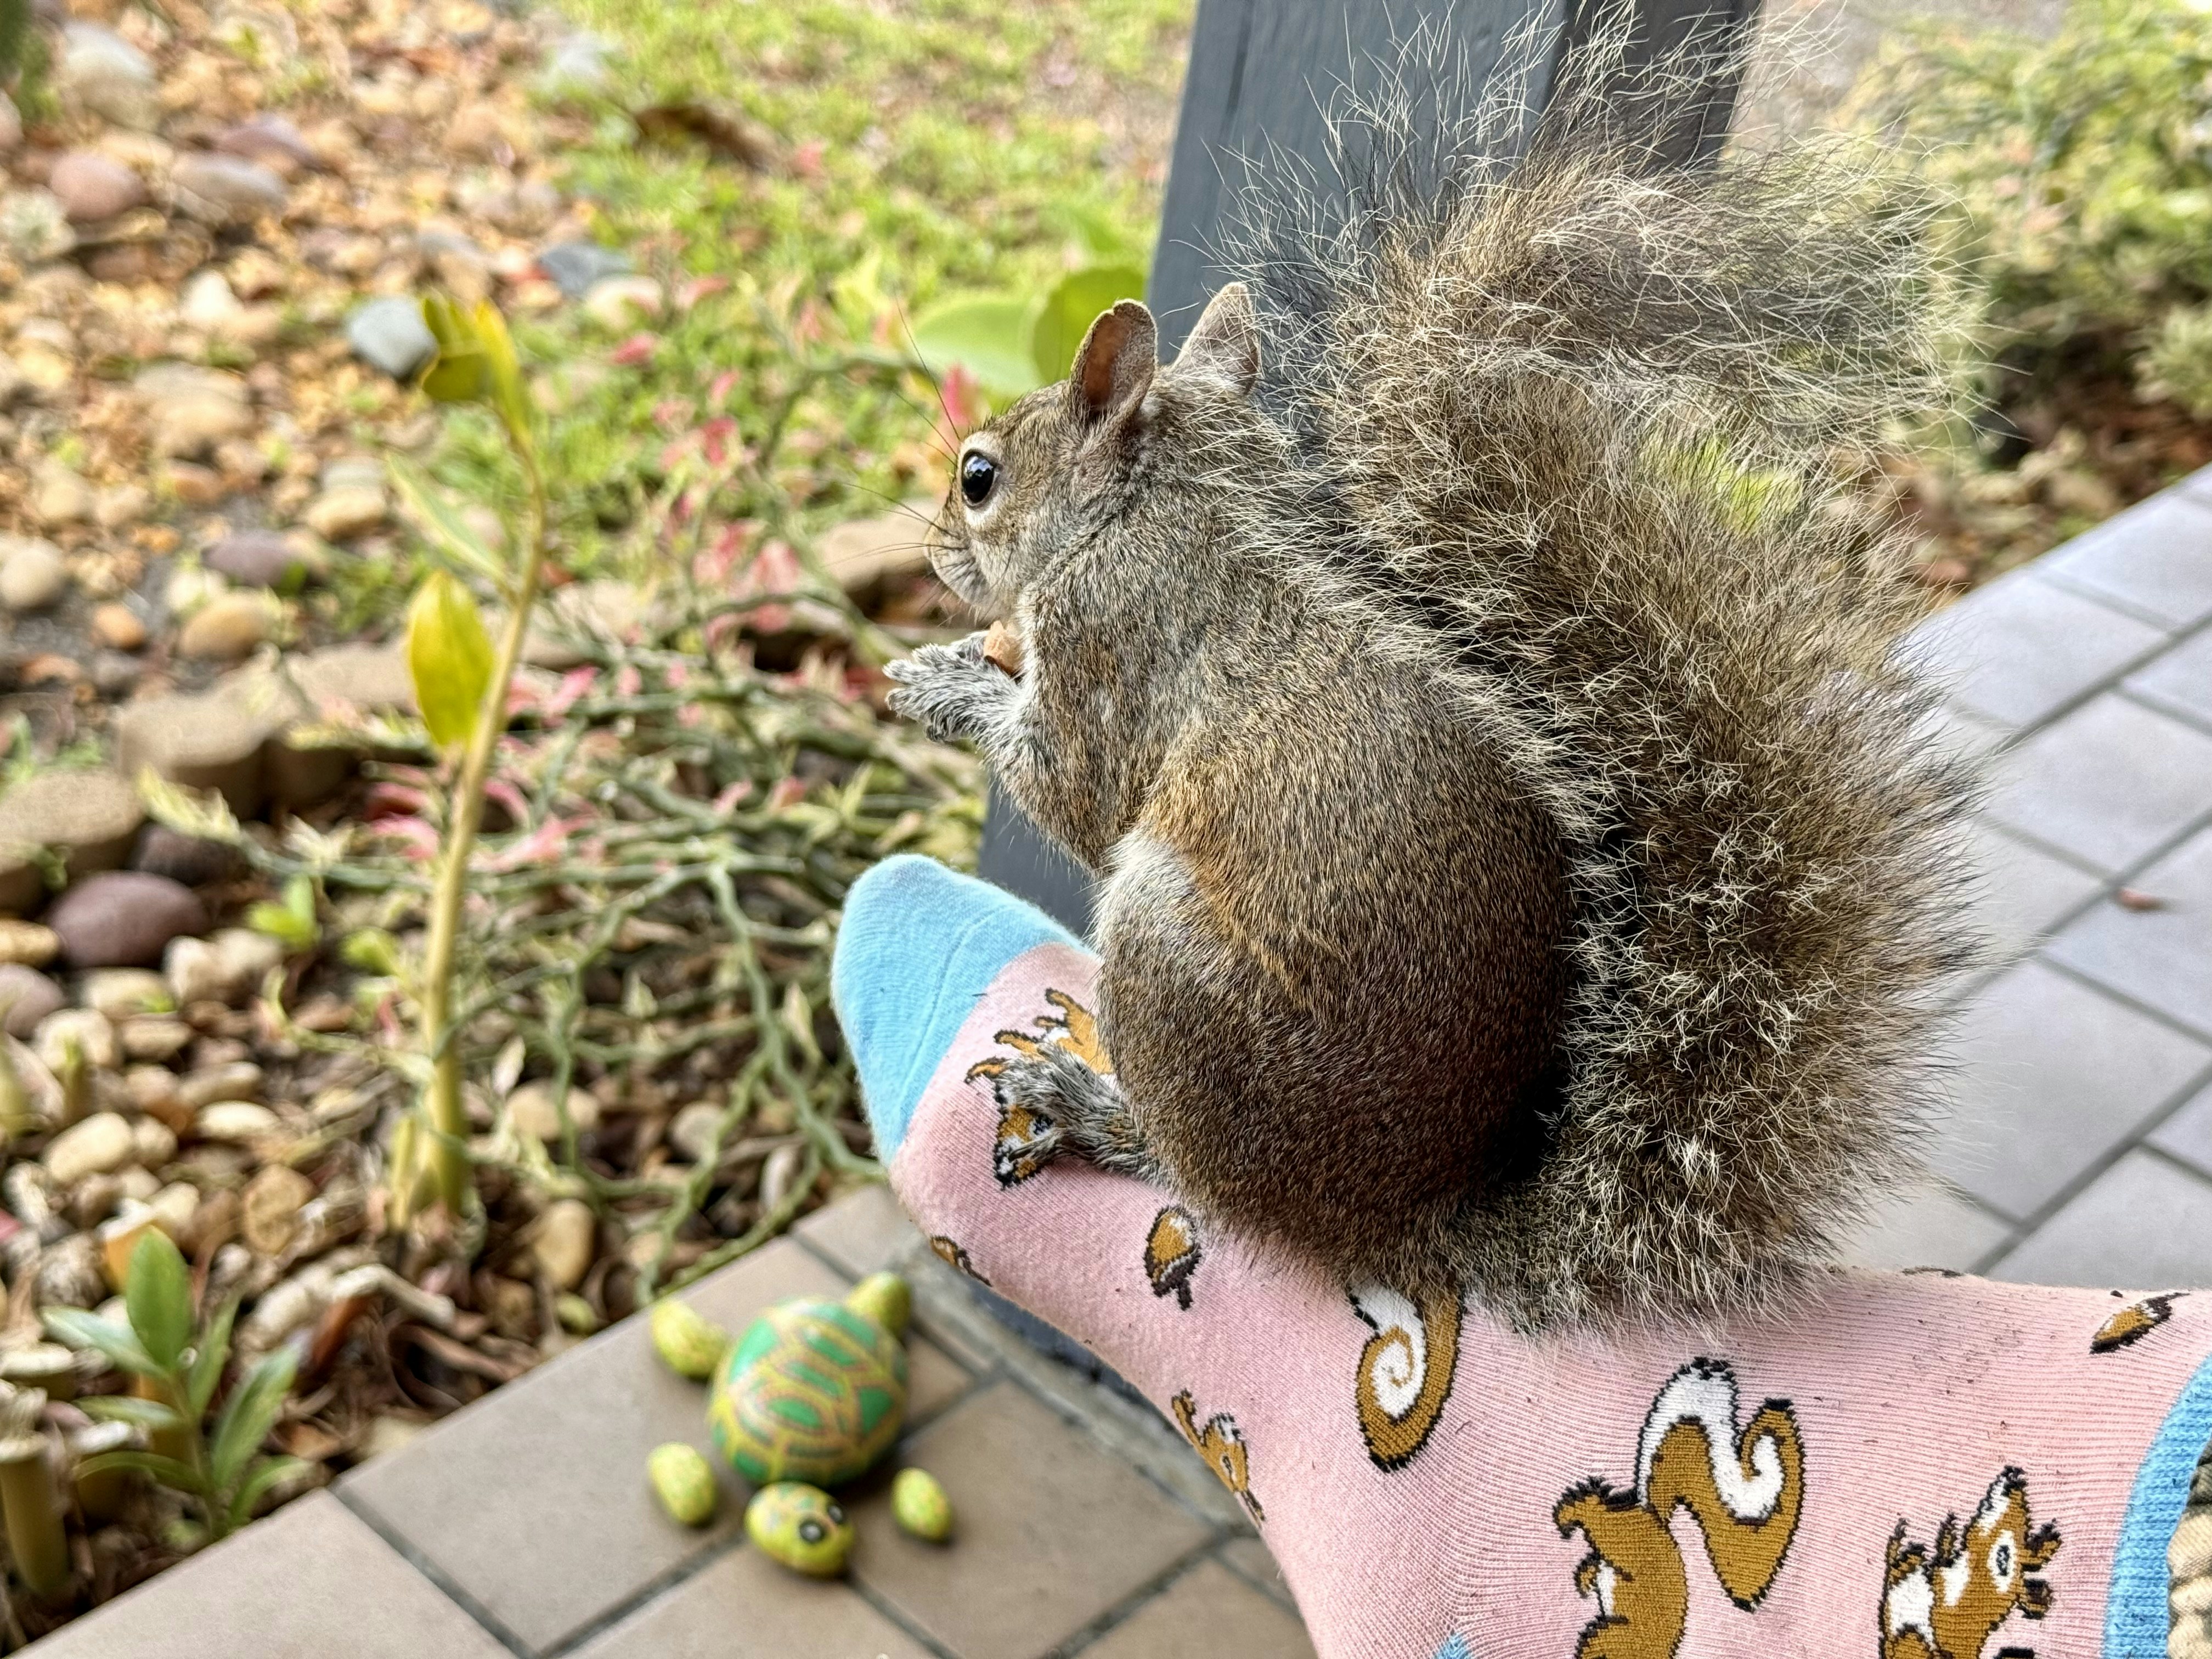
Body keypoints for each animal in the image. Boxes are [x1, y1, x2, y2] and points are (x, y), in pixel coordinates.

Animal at [884, 28, 1979, 1330]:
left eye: (981, 475)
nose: (933, 555)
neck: (1173, 501)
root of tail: (1410, 1213)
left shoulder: (1115, 644)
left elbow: (1073, 791)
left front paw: (948, 680)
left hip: (1168, 966)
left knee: (1200, 1177)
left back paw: (1095, 1109)